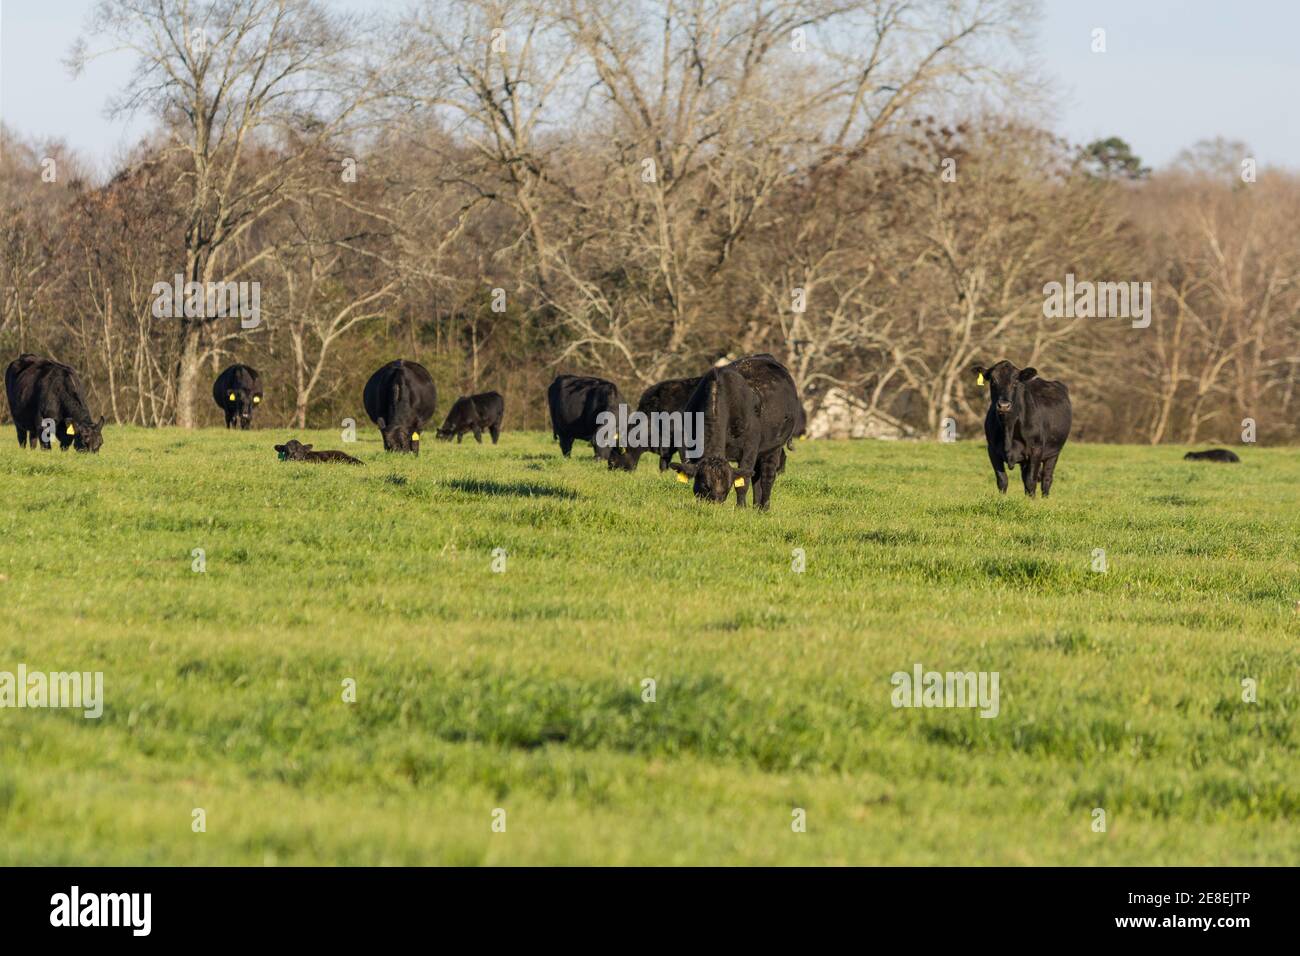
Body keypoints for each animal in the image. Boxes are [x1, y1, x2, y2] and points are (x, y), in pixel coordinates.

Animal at [667, 354, 803, 510]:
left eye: (727, 487)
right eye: (705, 485)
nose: (716, 504)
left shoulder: (749, 448)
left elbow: (743, 482)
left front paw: (741, 507)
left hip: (774, 447)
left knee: (767, 477)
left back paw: (764, 508)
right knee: (756, 477)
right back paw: (756, 507)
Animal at [971, 360, 1071, 497]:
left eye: (1015, 382)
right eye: (993, 381)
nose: (1004, 405)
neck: (1008, 427)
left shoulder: (1036, 449)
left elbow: (1031, 480)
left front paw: (1031, 501)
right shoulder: (992, 449)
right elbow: (1002, 480)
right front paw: (1002, 499)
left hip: (1054, 452)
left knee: (1046, 478)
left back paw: (1045, 498)